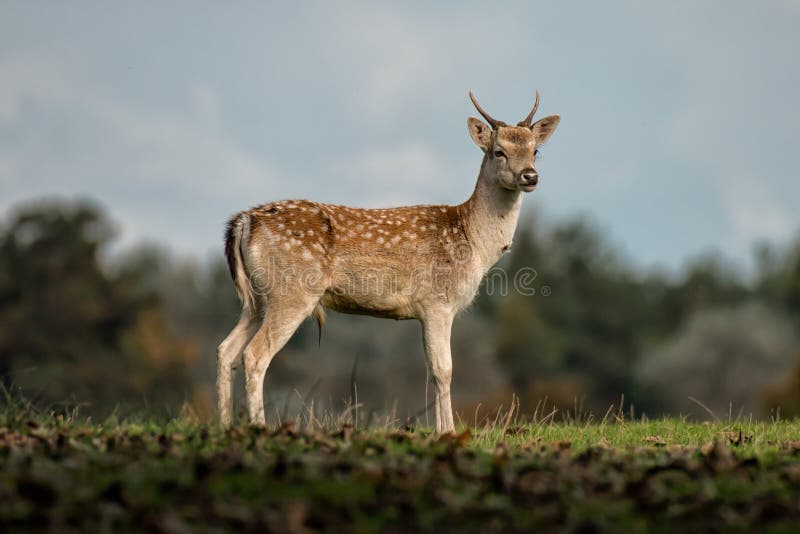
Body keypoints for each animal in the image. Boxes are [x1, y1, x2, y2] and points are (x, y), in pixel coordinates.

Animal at [217, 90, 560, 434]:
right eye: (499, 151)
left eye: (535, 150)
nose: (530, 176)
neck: (473, 242)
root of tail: (244, 221)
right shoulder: (437, 302)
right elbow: (443, 369)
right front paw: (448, 431)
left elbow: (432, 369)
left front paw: (440, 429)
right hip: (292, 290)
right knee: (254, 354)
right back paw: (259, 427)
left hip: (258, 298)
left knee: (226, 350)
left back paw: (225, 425)